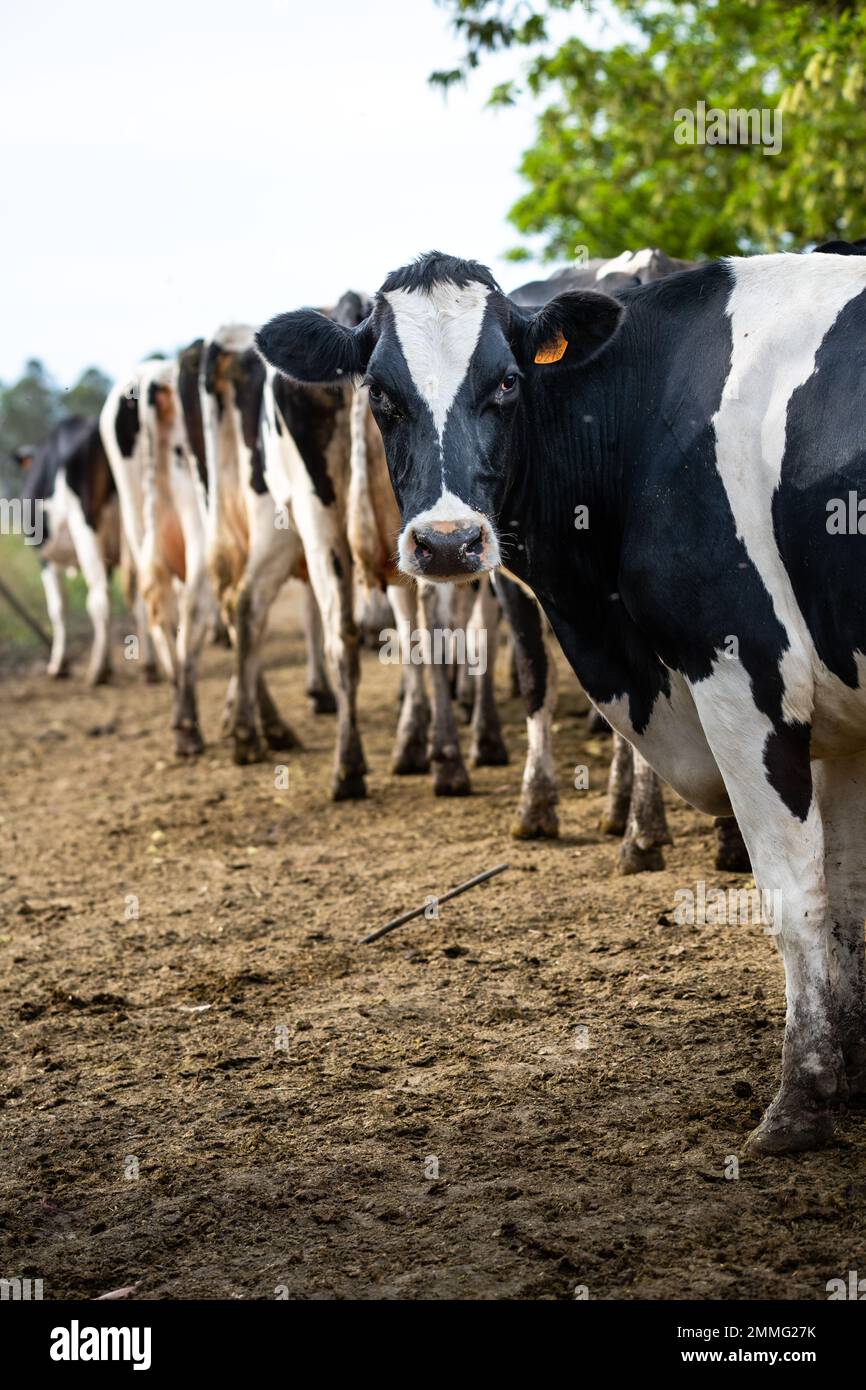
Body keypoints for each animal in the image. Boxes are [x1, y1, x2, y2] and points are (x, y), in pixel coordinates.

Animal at [13, 417, 133, 684]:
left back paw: (97, 671)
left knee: (100, 598)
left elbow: (57, 608)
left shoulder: (46, 559)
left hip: (85, 529)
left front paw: (59, 665)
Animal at [258, 247, 866, 1156]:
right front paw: (851, 1075)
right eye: (381, 393)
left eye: (508, 382)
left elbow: (797, 896)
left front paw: (800, 1102)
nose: (447, 542)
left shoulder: (745, 678)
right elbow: (849, 894)